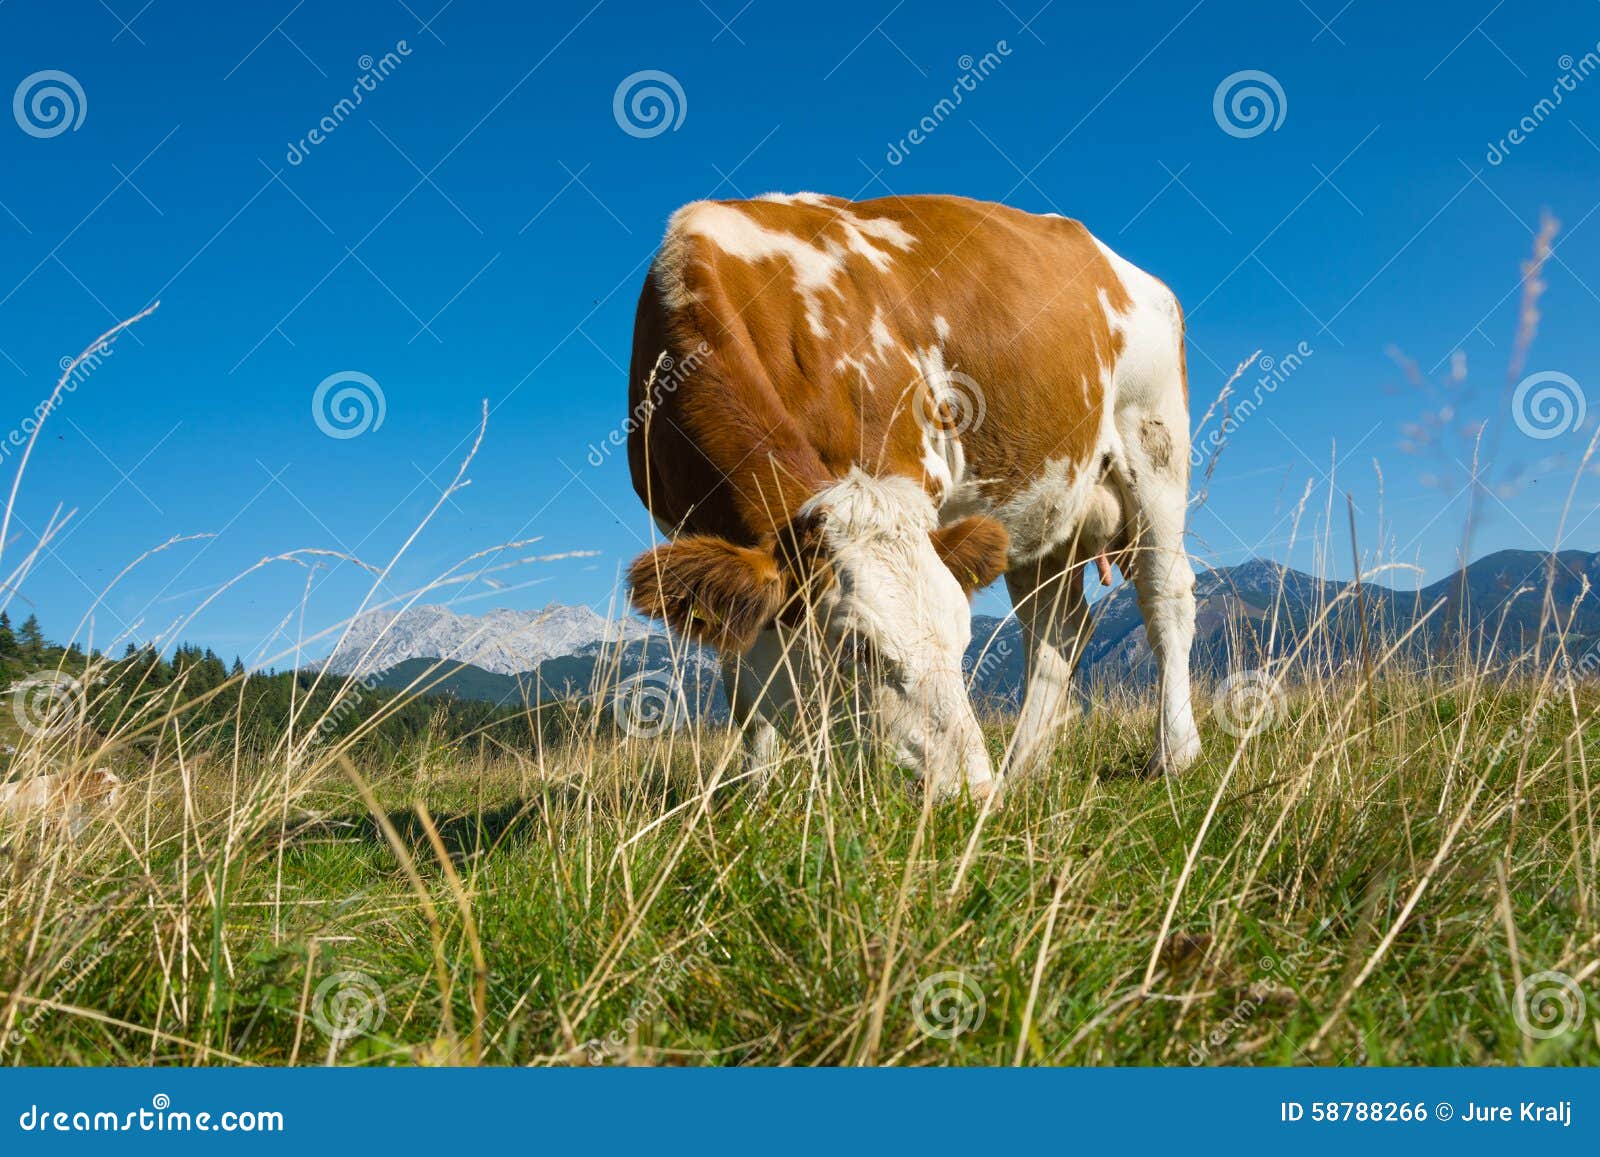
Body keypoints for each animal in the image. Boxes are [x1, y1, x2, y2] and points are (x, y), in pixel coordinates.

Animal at [625, 192, 1201, 799]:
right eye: (855, 646)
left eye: (963, 630)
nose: (971, 791)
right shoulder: (702, 539)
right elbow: (743, 681)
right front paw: (758, 792)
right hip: (1047, 505)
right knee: (1056, 629)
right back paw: (1024, 767)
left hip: (1155, 444)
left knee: (1165, 597)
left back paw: (1173, 755)